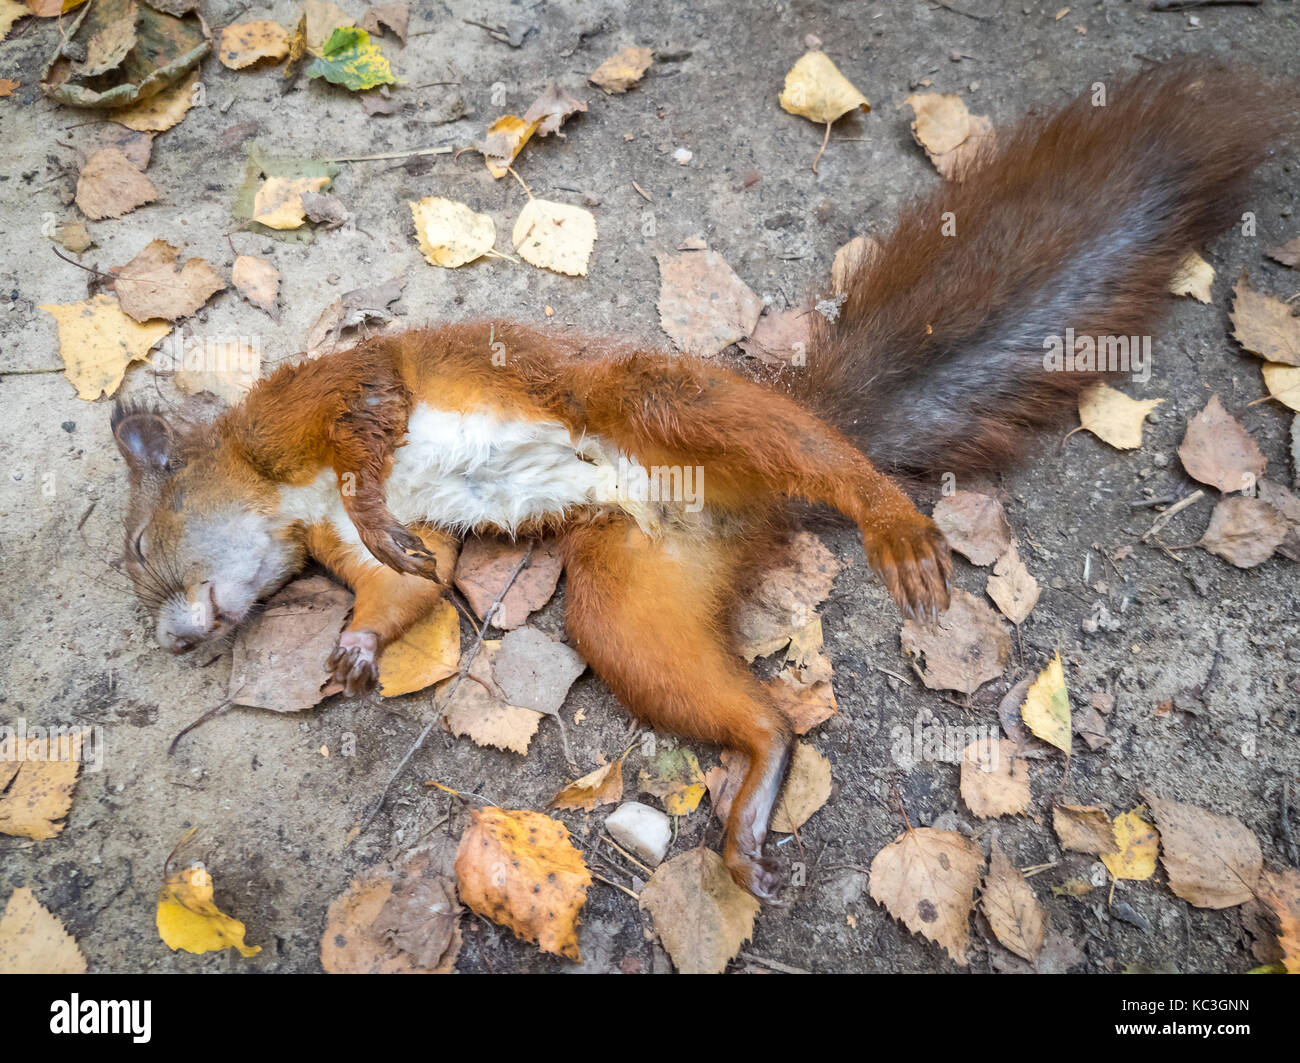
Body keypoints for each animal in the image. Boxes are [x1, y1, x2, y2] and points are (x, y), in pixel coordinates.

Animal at [112, 63, 1292, 901]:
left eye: (137, 548)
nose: (171, 640)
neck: (280, 494)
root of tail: (728, 489)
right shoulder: (361, 542)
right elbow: (409, 584)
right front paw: (354, 647)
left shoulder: (313, 401)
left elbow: (371, 424)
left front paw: (362, 525)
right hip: (636, 590)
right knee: (749, 711)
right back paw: (755, 795)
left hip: (677, 402)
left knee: (829, 458)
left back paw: (890, 519)